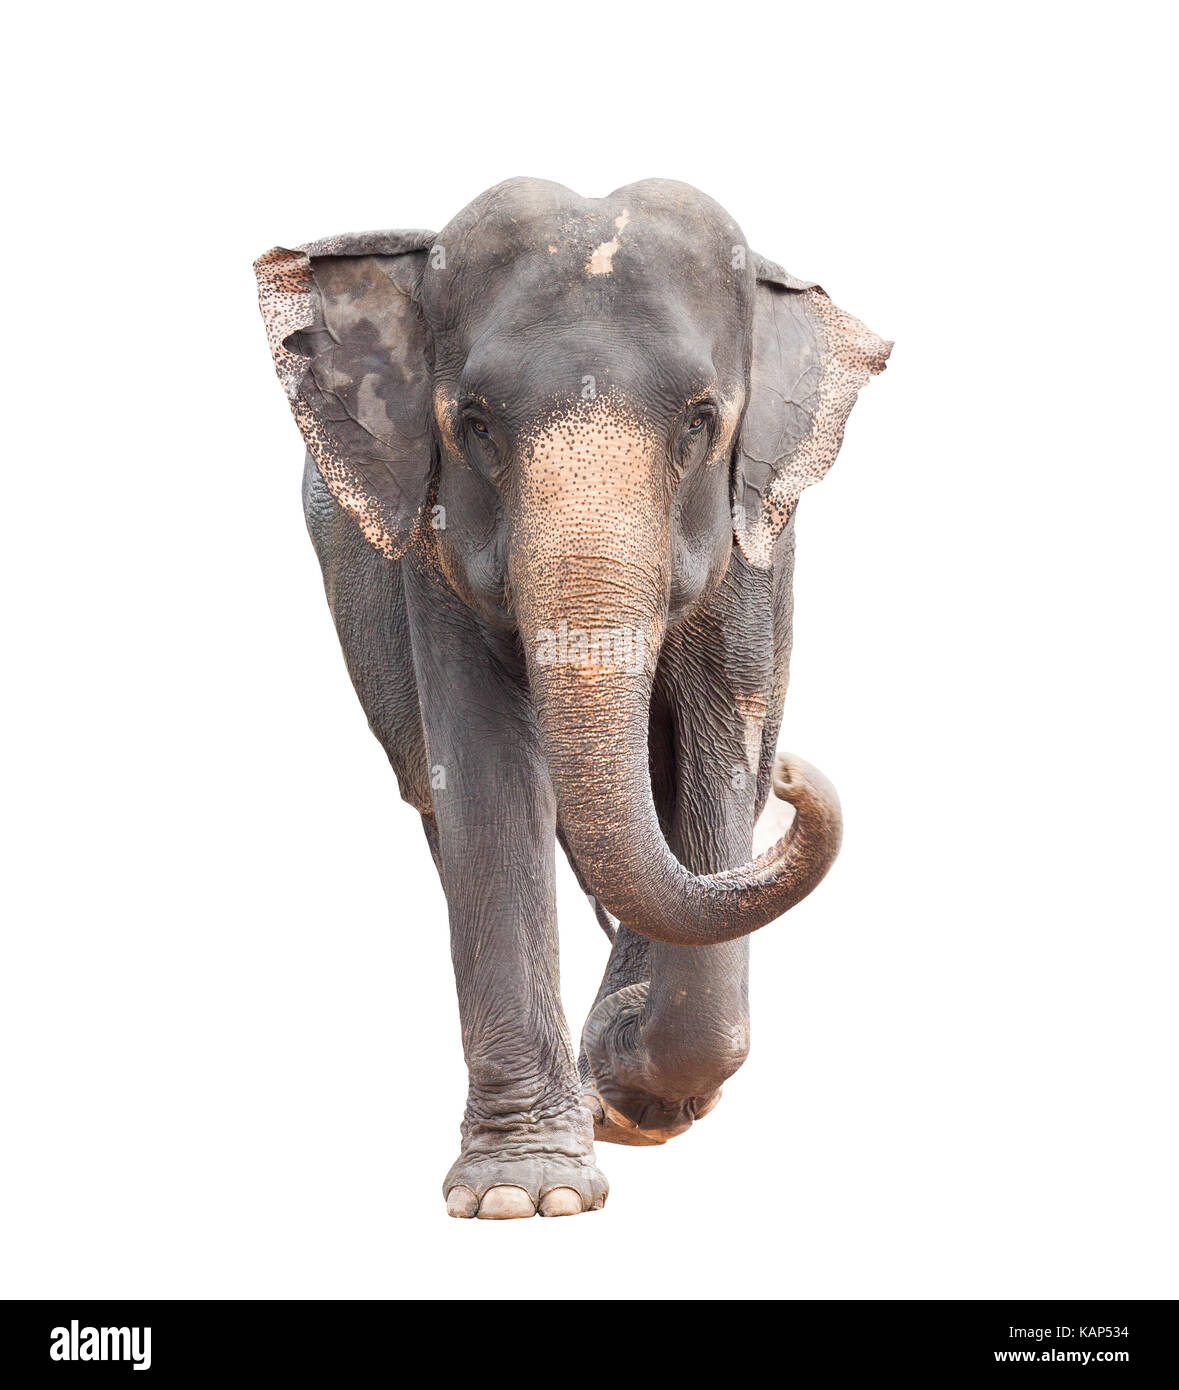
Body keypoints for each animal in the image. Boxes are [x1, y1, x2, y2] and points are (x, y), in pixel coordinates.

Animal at [254, 178, 890, 1219]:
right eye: (474, 424)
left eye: (700, 421)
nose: (807, 778)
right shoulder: (430, 548)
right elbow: (486, 778)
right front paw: (522, 1196)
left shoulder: (754, 549)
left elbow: (719, 752)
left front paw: (628, 1091)